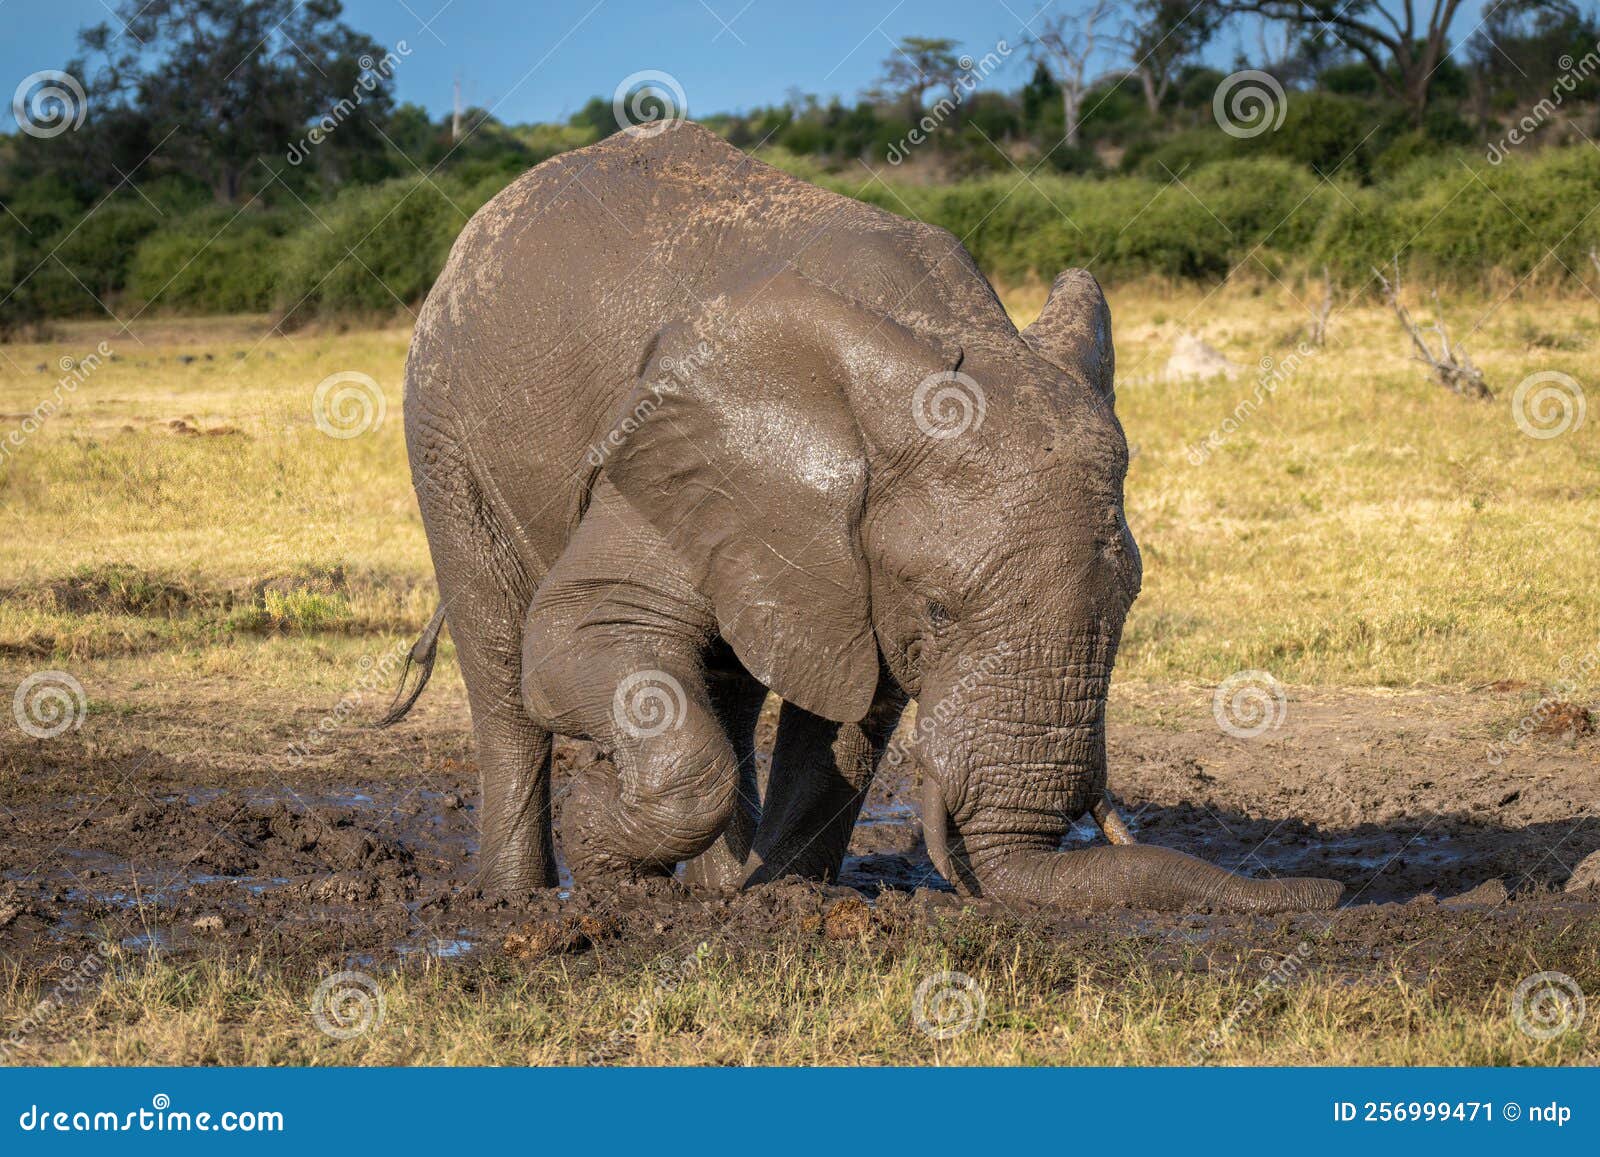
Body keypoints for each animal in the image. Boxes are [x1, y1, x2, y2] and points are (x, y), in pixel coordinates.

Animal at [380, 121, 1342, 914]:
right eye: (938, 610)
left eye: (1132, 605)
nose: (1326, 893)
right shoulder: (664, 441)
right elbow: (577, 630)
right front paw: (611, 858)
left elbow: (850, 720)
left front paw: (783, 903)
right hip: (442, 429)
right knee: (503, 658)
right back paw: (520, 900)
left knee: (729, 677)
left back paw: (720, 887)